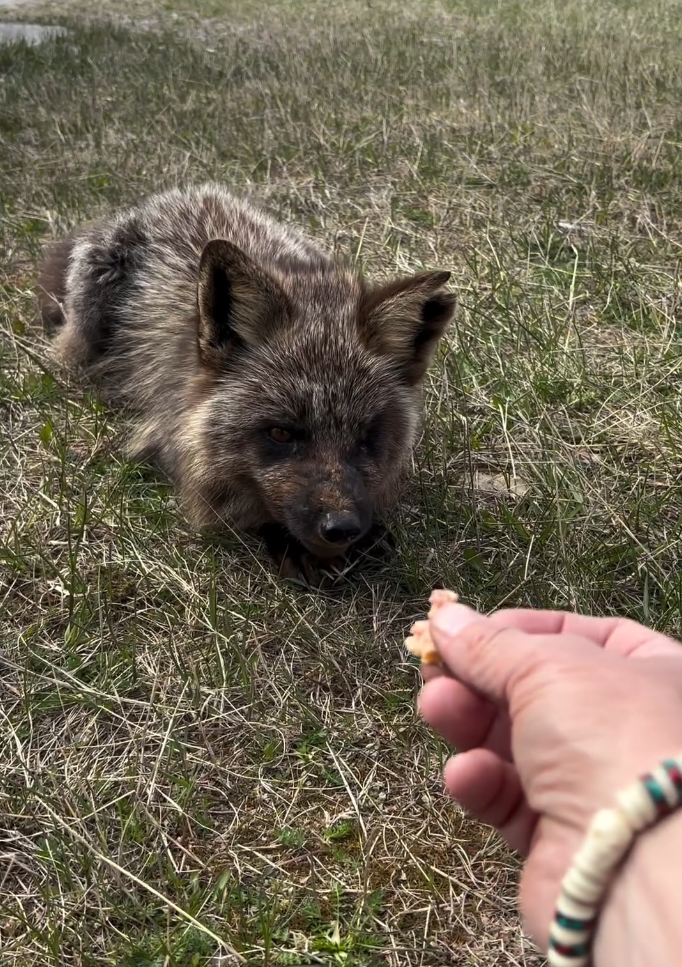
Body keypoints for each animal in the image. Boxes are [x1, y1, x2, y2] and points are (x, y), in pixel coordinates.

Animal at [35, 186, 452, 588]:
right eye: (281, 433)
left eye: (368, 437)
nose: (342, 528)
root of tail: (166, 198)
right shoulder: (168, 435)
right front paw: (283, 540)